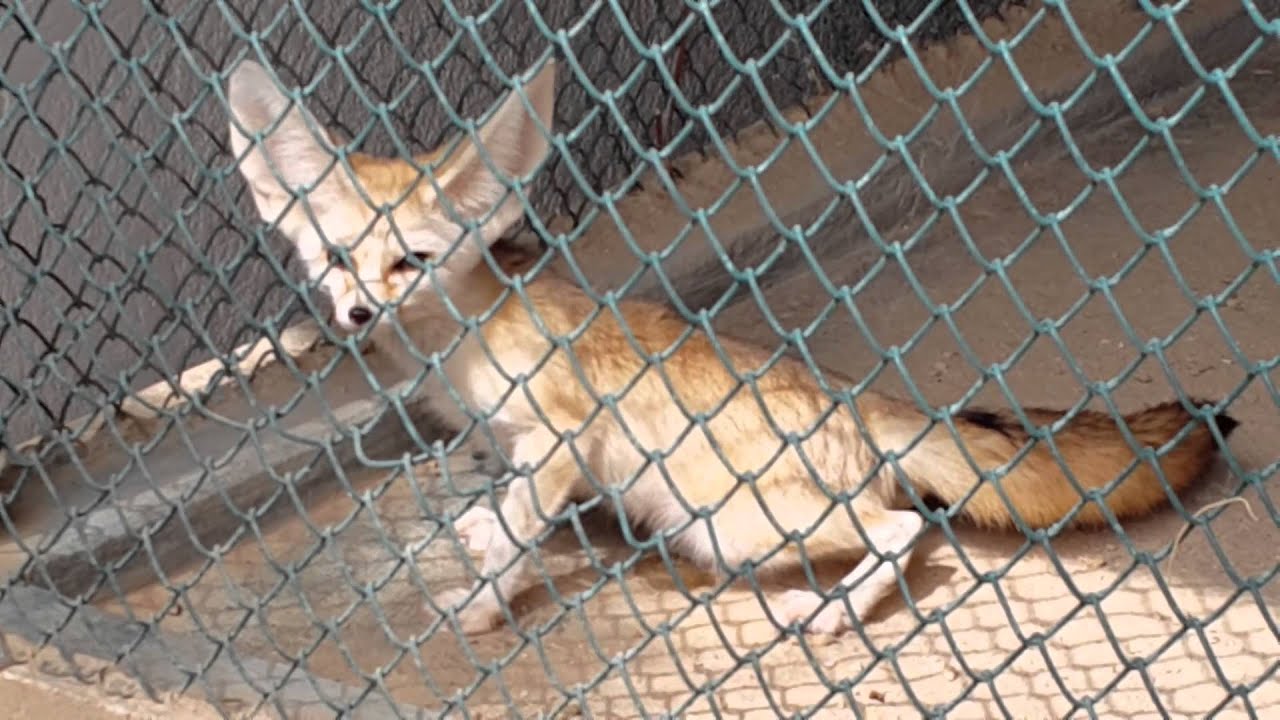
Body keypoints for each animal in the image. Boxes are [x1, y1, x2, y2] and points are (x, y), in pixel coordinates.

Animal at [224, 58, 1239, 636]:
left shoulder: (561, 434)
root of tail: (859, 396)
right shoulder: (527, 449)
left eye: (413, 260)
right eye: (338, 258)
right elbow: (513, 510)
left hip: (726, 524)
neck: (458, 342)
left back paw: (830, 616)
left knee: (908, 529)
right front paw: (485, 531)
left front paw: (479, 606)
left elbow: (521, 535)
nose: (356, 316)